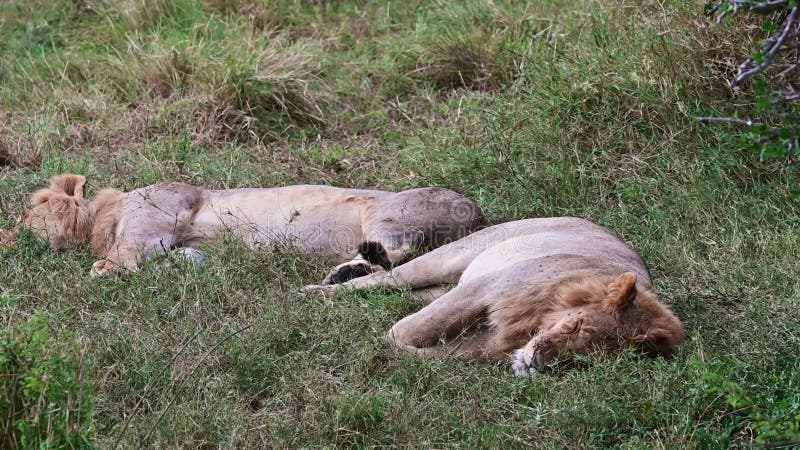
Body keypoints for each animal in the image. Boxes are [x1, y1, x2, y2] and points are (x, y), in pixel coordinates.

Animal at [302, 217, 685, 374]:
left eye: (583, 360)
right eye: (576, 327)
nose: (537, 362)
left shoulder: (490, 342)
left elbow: (449, 354)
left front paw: (416, 358)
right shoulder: (482, 291)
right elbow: (403, 331)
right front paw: (390, 346)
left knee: (404, 291)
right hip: (453, 257)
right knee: (390, 278)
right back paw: (322, 289)